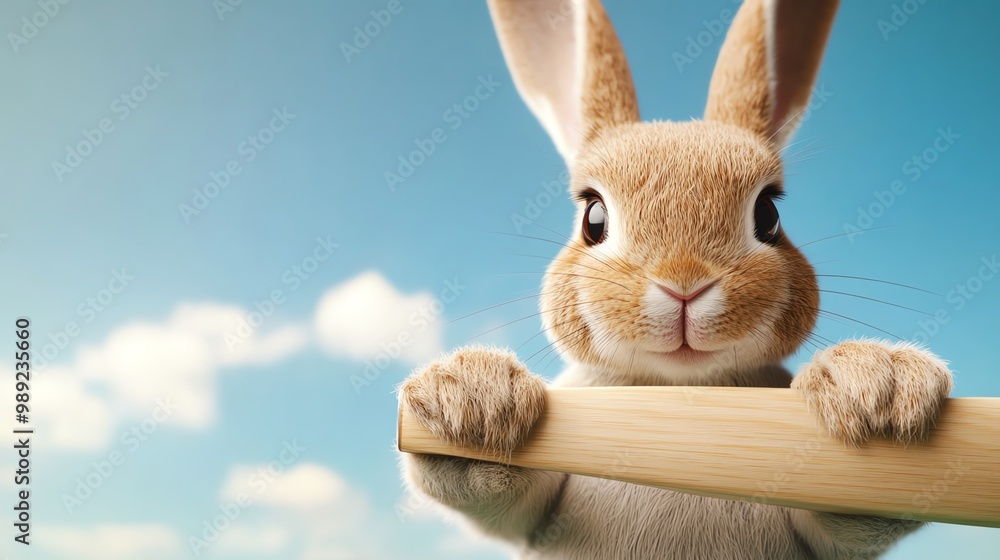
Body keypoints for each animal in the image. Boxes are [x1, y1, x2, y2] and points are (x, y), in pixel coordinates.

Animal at [398, 0, 954, 558]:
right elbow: (502, 492)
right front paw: (472, 400)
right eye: (593, 218)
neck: (679, 392)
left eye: (769, 215)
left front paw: (882, 392)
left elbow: (848, 512)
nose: (684, 285)